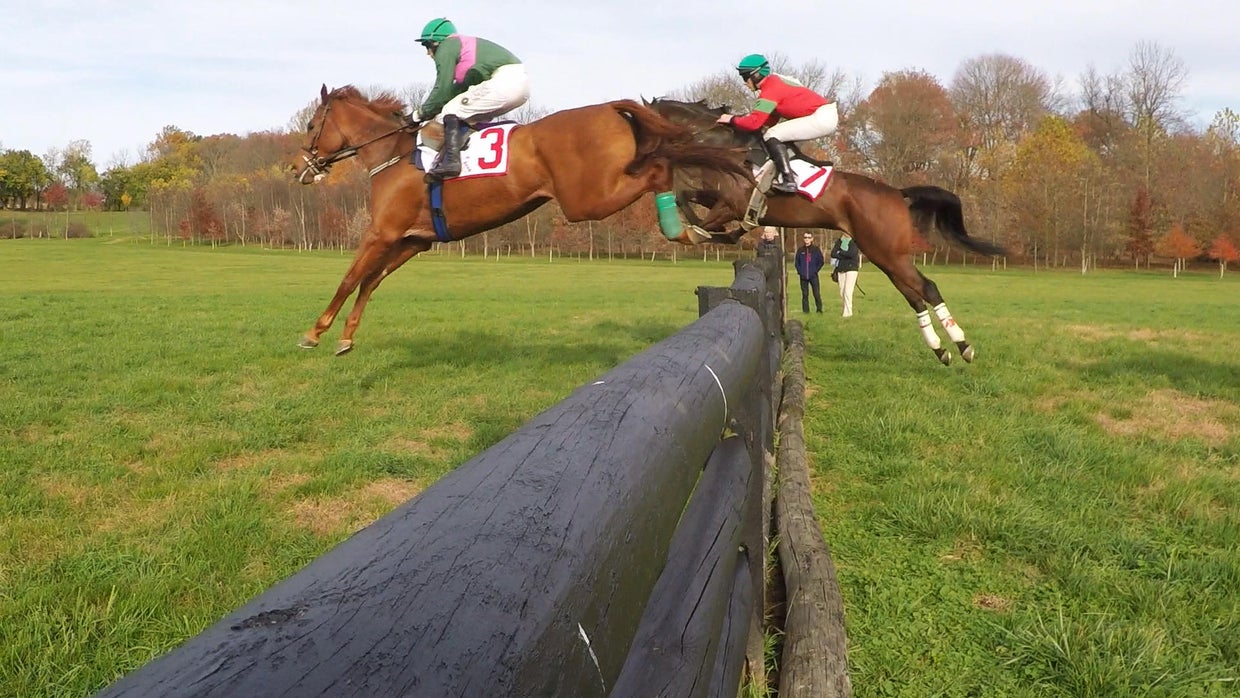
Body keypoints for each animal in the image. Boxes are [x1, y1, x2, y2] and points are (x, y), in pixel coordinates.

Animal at [292, 85, 747, 355]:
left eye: (312, 124)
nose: (298, 167)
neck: (394, 155)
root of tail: (610, 107)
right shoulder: (411, 239)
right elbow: (370, 281)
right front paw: (346, 336)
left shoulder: (381, 232)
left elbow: (350, 277)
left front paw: (316, 331)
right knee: (670, 164)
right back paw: (709, 223)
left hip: (587, 198)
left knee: (661, 168)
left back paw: (698, 221)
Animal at [647, 97, 1007, 366]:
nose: (640, 163)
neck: (727, 147)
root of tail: (897, 193)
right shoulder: (719, 199)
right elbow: (686, 197)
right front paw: (714, 232)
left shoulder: (731, 203)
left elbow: (696, 212)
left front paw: (695, 234)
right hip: (885, 255)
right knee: (915, 296)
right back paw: (942, 349)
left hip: (886, 252)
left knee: (927, 288)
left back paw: (962, 345)